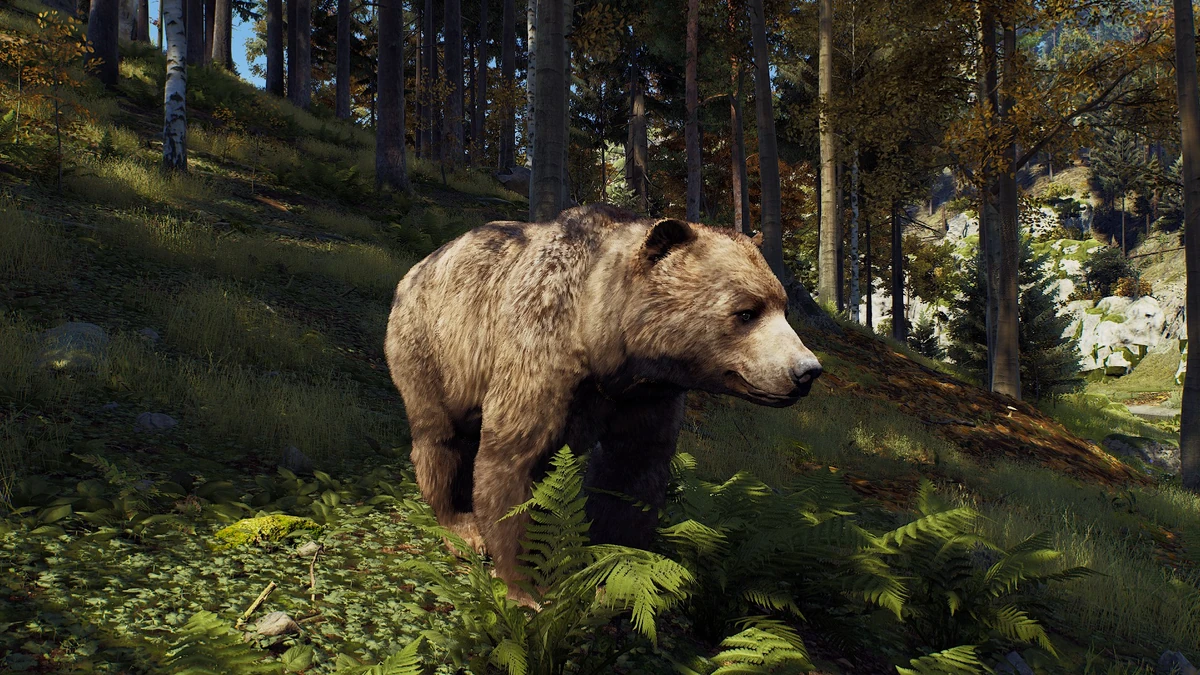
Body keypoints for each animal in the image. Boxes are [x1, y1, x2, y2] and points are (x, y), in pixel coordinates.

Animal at [384, 203, 821, 603]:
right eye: (746, 312)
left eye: (783, 306)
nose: (807, 371)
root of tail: (416, 267)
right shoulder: (541, 354)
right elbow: (515, 461)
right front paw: (530, 586)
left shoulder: (648, 398)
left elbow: (631, 474)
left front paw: (616, 571)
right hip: (433, 347)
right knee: (442, 438)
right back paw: (461, 527)